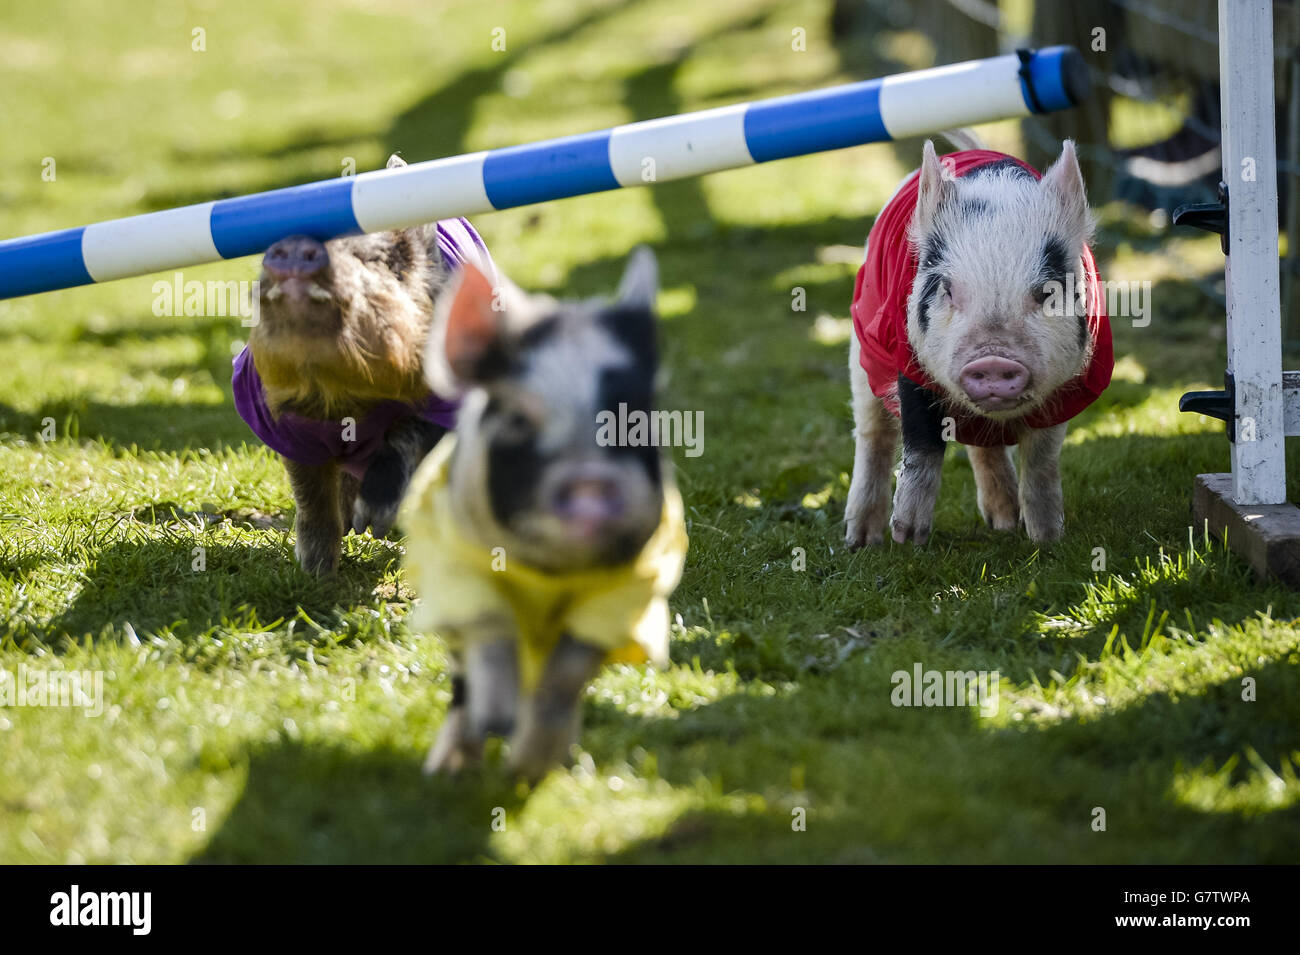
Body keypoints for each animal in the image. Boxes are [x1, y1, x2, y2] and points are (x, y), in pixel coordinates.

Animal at [231, 157, 495, 575]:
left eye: (368, 259)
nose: (295, 245)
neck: (345, 393)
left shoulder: (444, 403)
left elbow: (404, 434)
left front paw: (374, 523)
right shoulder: (285, 429)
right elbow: (311, 492)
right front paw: (315, 570)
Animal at [400, 247, 688, 782]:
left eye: (638, 416)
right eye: (517, 418)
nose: (591, 484)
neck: (549, 571)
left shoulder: (630, 591)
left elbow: (570, 669)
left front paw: (528, 764)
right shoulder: (456, 567)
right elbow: (490, 630)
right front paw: (498, 722)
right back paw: (452, 766)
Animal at [845, 139, 1113, 548]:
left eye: (1047, 292)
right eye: (948, 289)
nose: (993, 360)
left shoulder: (1070, 388)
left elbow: (1042, 459)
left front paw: (1047, 539)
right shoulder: (909, 361)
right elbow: (922, 439)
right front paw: (908, 538)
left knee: (982, 443)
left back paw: (1004, 522)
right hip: (863, 352)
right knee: (873, 434)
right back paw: (860, 541)